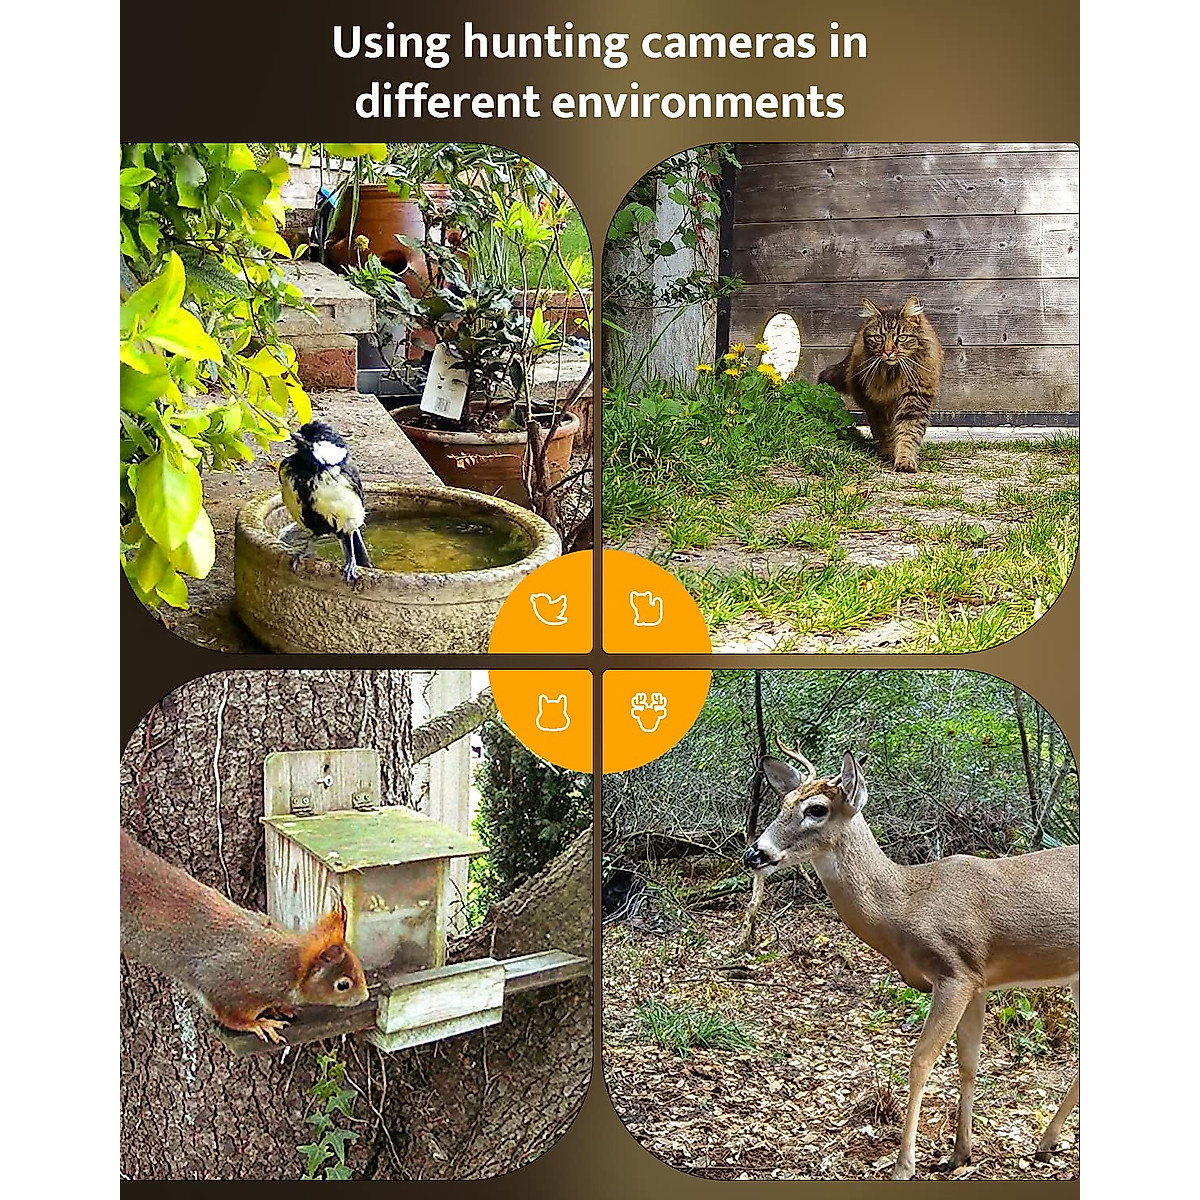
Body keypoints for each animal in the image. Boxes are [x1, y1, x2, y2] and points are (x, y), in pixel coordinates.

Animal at [742, 740, 1079, 1181]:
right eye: (783, 802)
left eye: (816, 809)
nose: (754, 854)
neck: (906, 903)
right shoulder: (977, 981)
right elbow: (968, 1063)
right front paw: (959, 1153)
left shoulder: (955, 972)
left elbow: (921, 1061)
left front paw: (904, 1165)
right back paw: (1046, 1142)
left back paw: (1047, 1141)